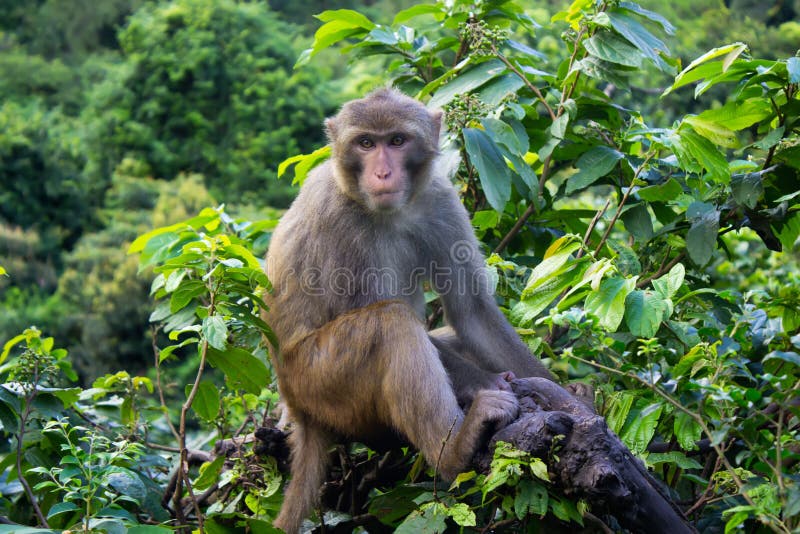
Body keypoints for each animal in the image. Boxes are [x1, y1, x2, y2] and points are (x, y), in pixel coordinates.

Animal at [262, 88, 554, 533]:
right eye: (366, 143)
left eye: (397, 141)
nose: (382, 173)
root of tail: (296, 405)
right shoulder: (341, 221)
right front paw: (490, 382)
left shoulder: (439, 198)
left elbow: (470, 311)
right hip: (319, 378)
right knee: (391, 323)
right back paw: (455, 449)